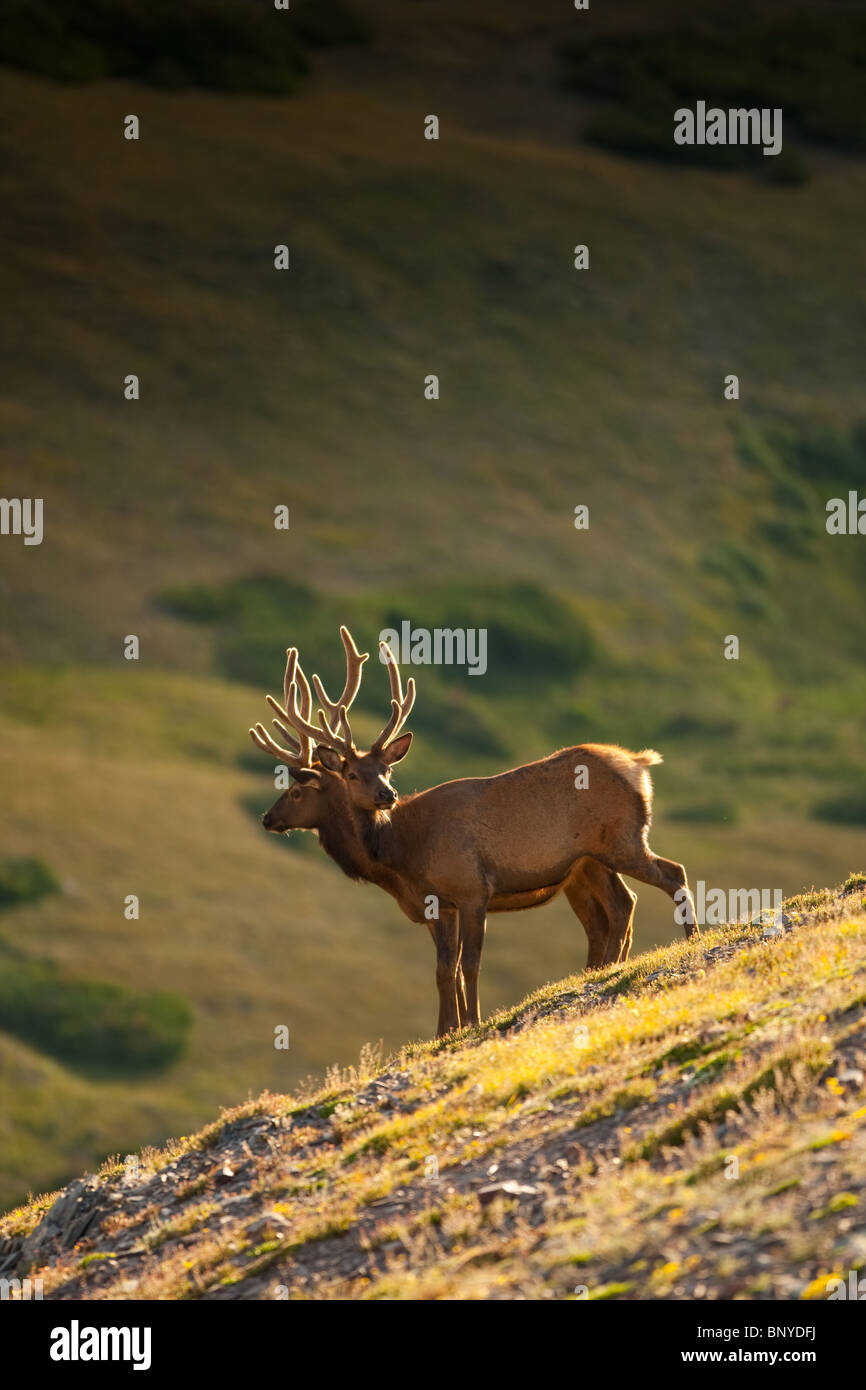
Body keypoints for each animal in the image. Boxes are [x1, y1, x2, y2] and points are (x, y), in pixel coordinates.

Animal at [249, 627, 699, 1038]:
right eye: (355, 774)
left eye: (296, 790)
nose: (268, 818)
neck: (400, 857)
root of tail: (639, 764)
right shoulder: (439, 904)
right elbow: (443, 968)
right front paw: (445, 1030)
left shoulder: (470, 888)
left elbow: (469, 963)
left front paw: (472, 1022)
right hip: (592, 859)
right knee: (621, 904)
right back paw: (606, 968)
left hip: (622, 840)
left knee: (672, 874)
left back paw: (690, 941)